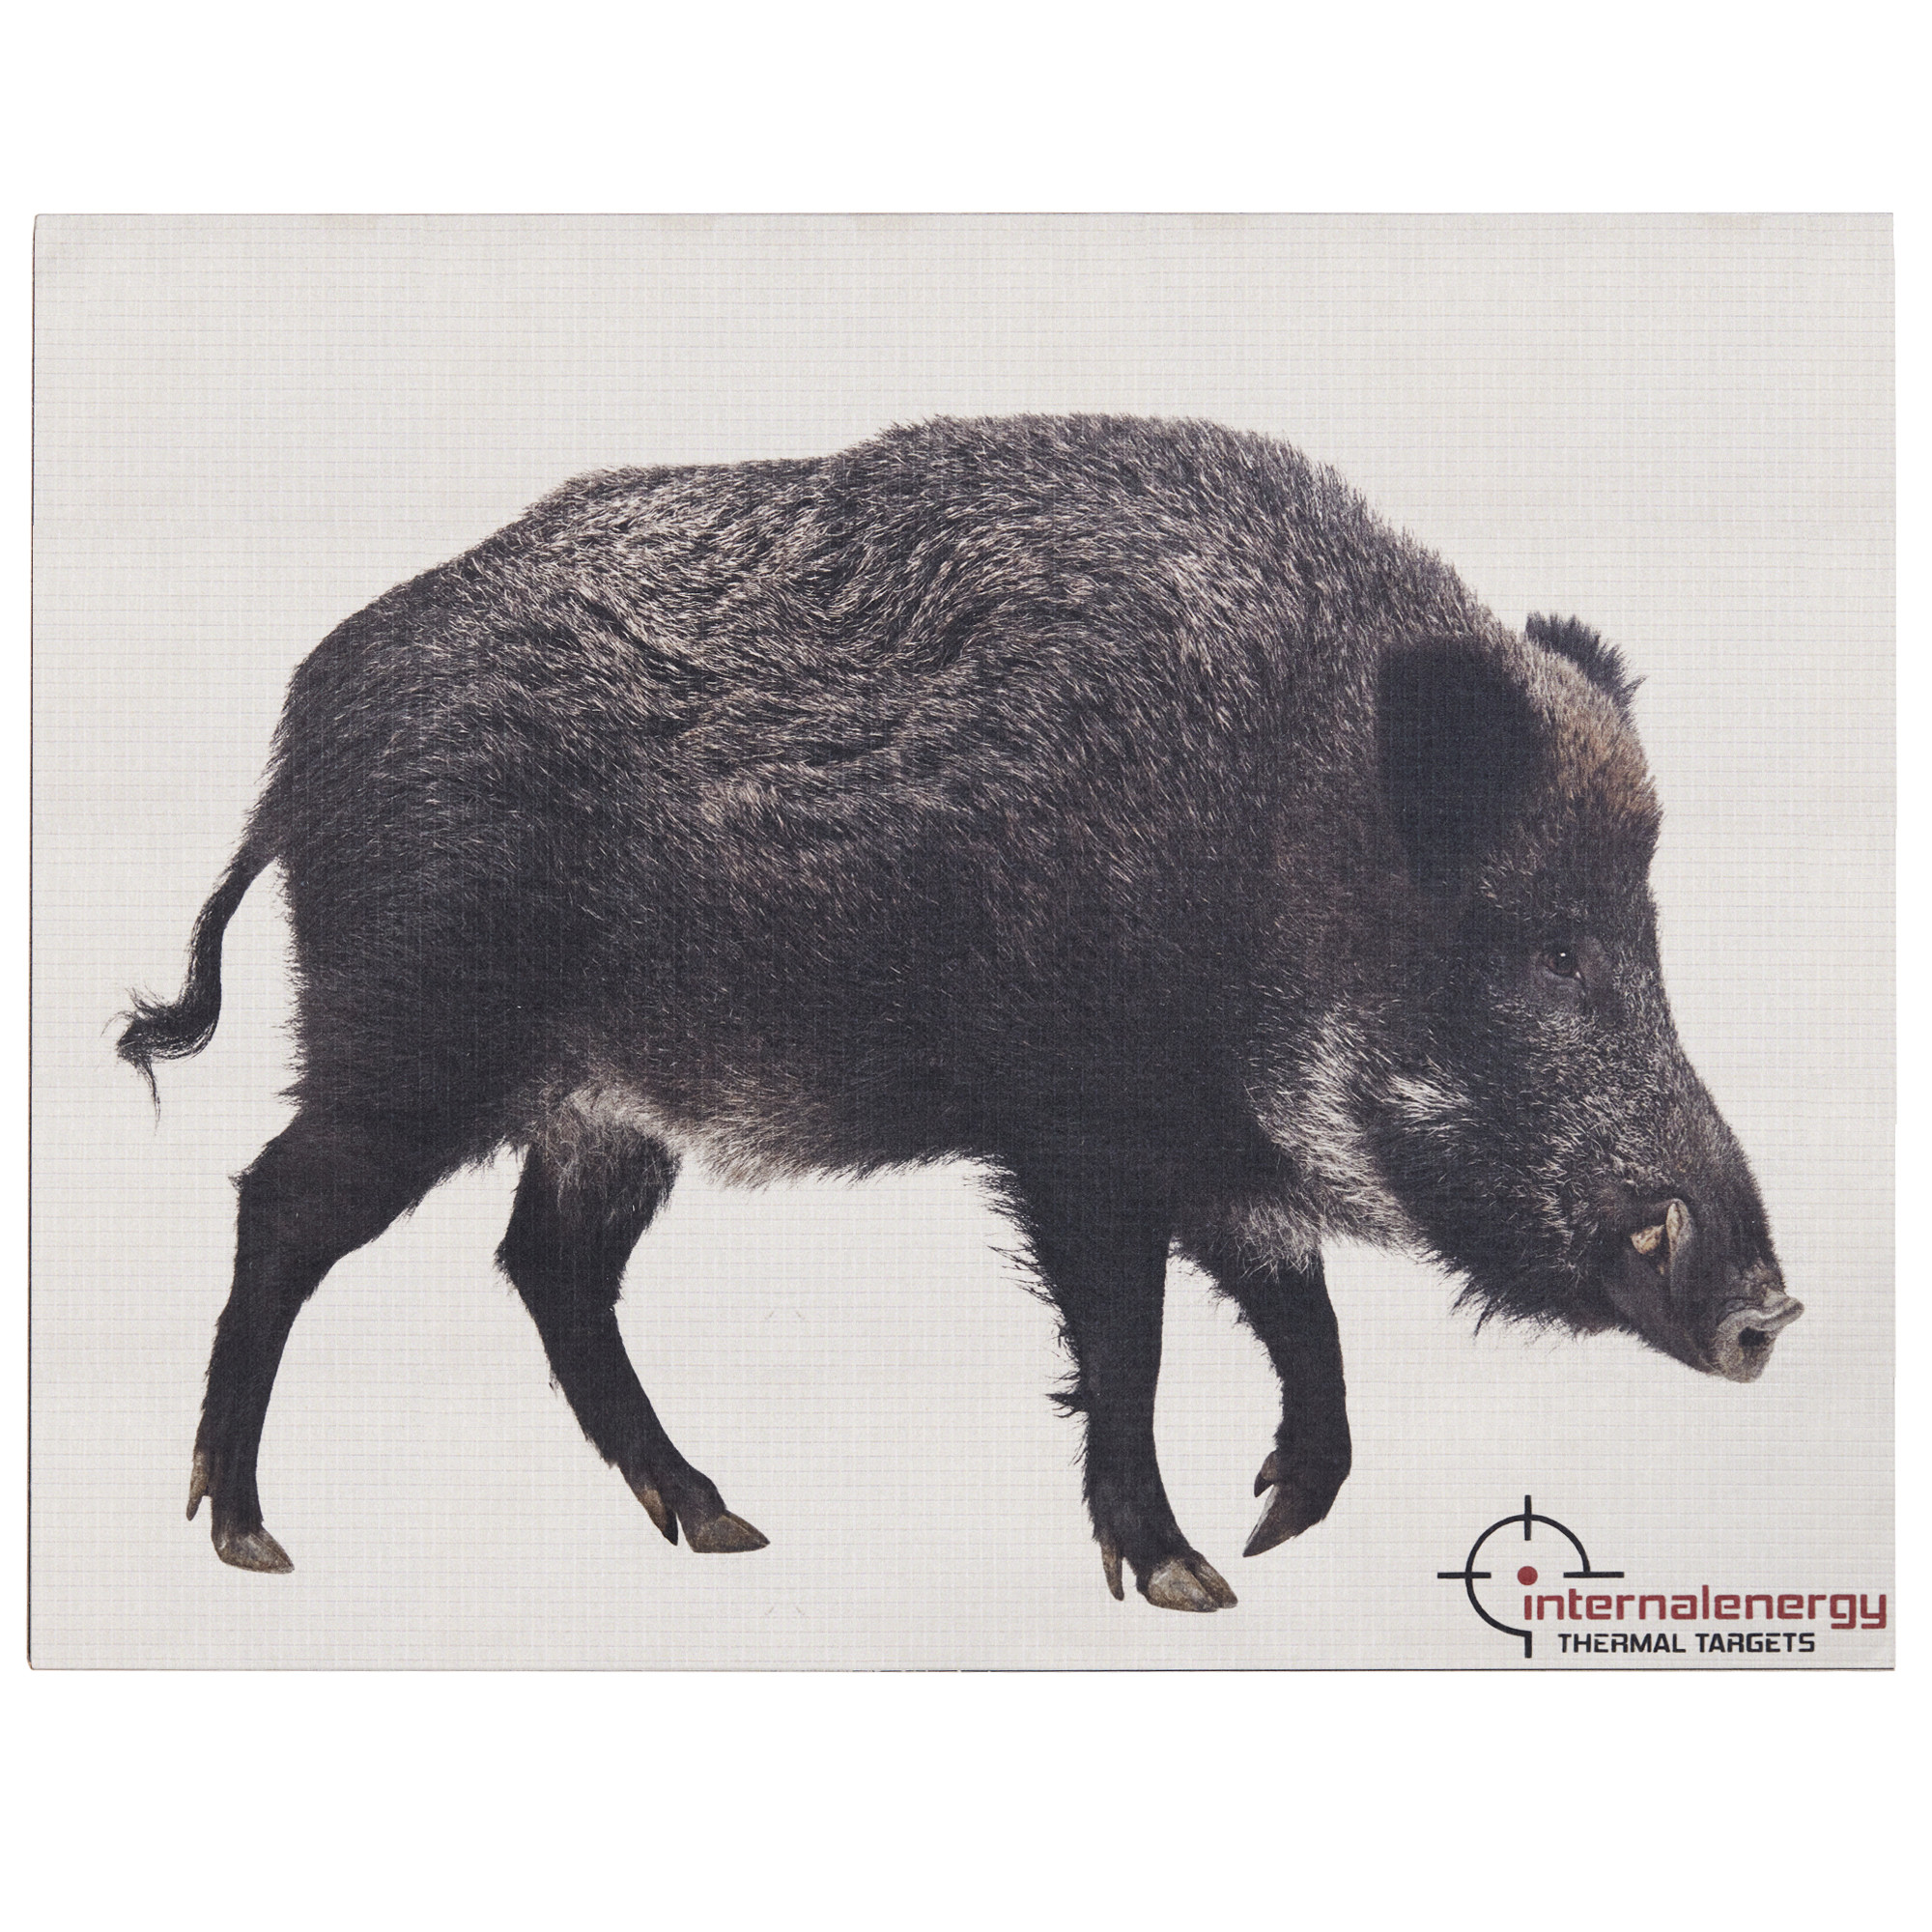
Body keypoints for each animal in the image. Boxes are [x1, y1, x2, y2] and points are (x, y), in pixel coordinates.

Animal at [118, 415, 1801, 1610]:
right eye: (1544, 948)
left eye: (1649, 940)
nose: (1769, 1309)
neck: (1271, 830)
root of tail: (296, 750)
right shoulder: (1074, 1131)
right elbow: (1131, 1341)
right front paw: (1189, 1581)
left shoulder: (1220, 1150)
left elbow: (1299, 1312)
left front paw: (1279, 1526)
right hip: (413, 1039)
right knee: (283, 1206)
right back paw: (249, 1539)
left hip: (604, 1110)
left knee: (549, 1267)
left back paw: (723, 1525)